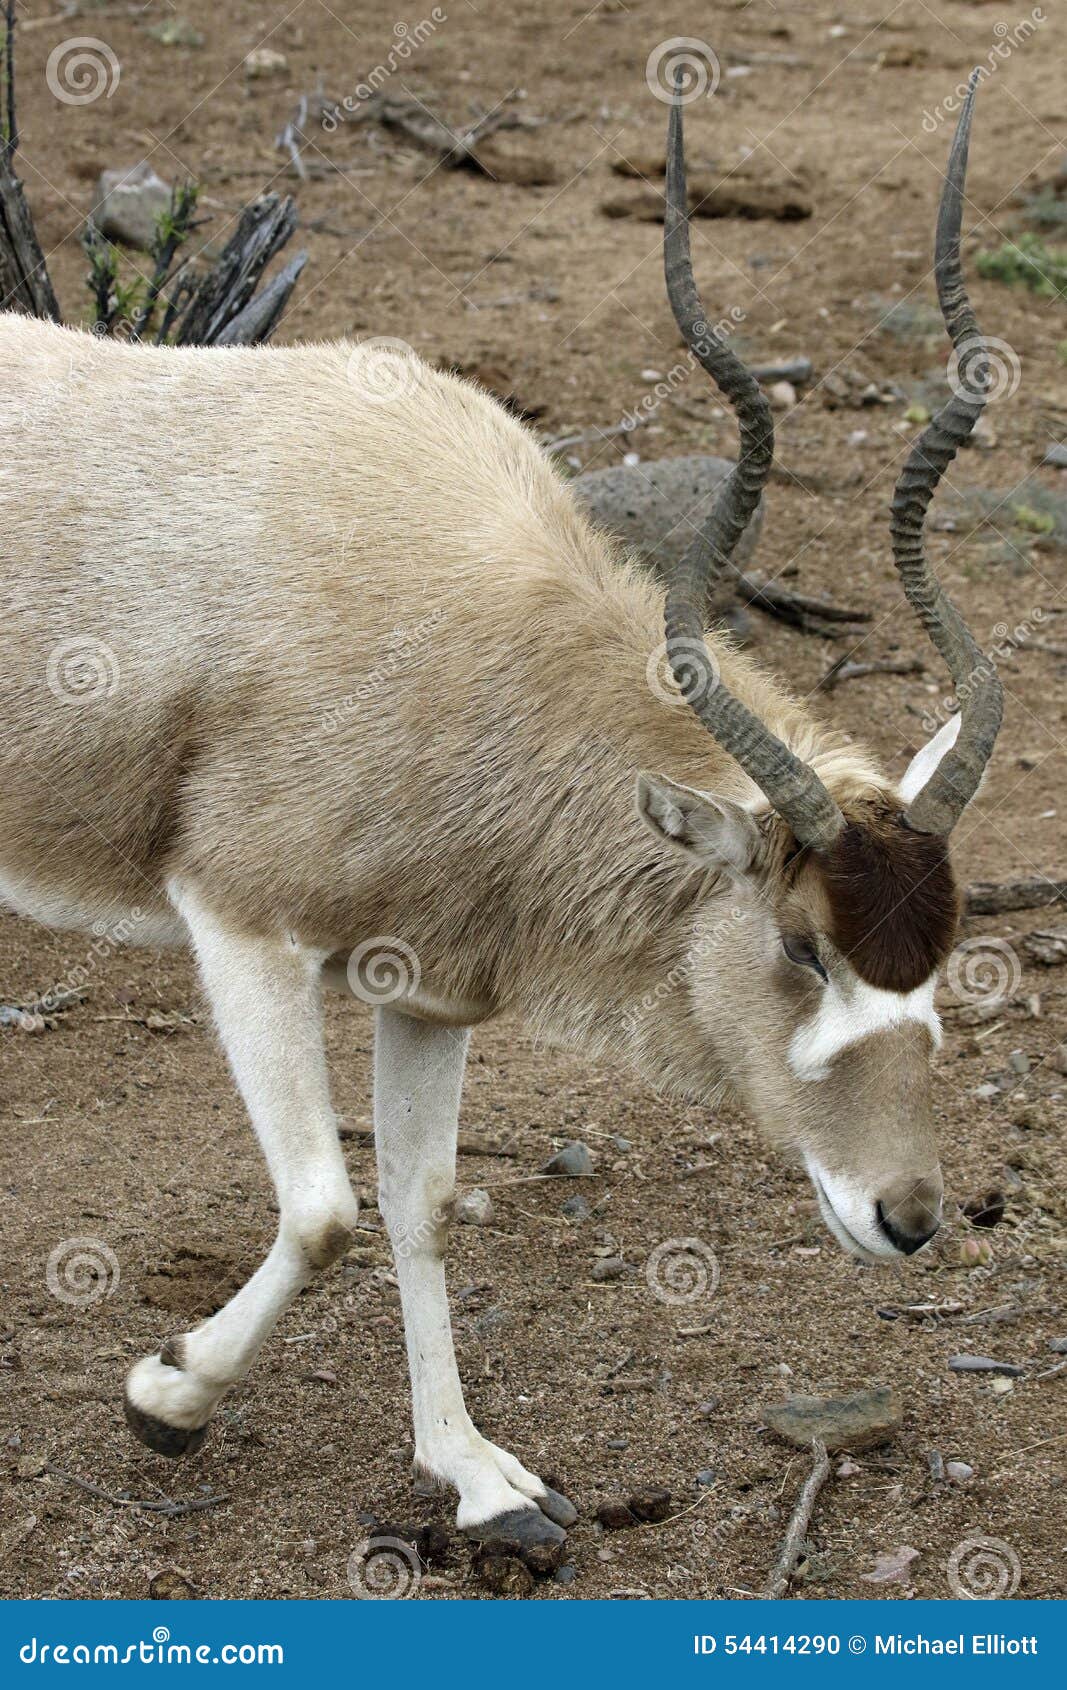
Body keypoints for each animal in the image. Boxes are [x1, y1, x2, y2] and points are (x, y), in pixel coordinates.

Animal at [0, 79, 1000, 1556]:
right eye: (798, 945)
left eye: (937, 953)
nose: (910, 1215)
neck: (472, 634)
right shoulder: (242, 923)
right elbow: (323, 1211)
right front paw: (166, 1396)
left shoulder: (425, 988)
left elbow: (417, 1205)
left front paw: (476, 1479)